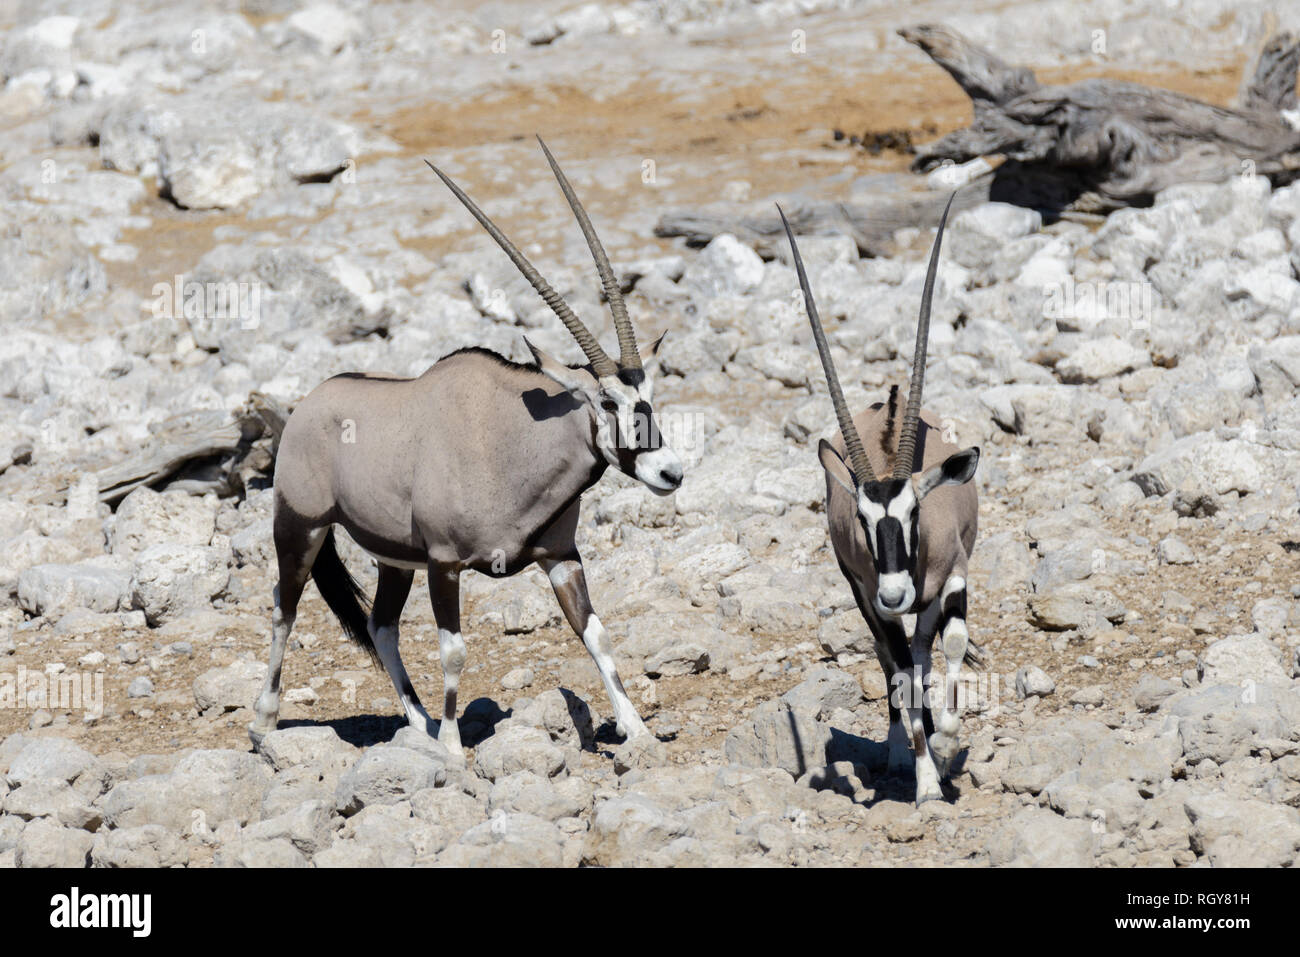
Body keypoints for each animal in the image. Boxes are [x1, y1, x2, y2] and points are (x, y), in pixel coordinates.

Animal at [249, 138, 683, 757]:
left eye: (649, 395)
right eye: (605, 400)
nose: (670, 472)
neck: (510, 441)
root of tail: (308, 404)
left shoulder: (560, 556)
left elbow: (595, 633)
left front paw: (638, 730)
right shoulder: (445, 562)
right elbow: (454, 649)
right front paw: (455, 751)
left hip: (392, 559)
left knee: (381, 625)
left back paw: (420, 724)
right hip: (301, 528)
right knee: (284, 610)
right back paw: (266, 721)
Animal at [779, 196, 982, 805]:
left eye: (914, 513)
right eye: (864, 520)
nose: (895, 592)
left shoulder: (954, 576)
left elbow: (951, 644)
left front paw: (948, 741)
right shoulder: (871, 595)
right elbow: (902, 674)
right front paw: (927, 780)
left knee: (920, 652)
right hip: (864, 596)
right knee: (895, 660)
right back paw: (901, 752)